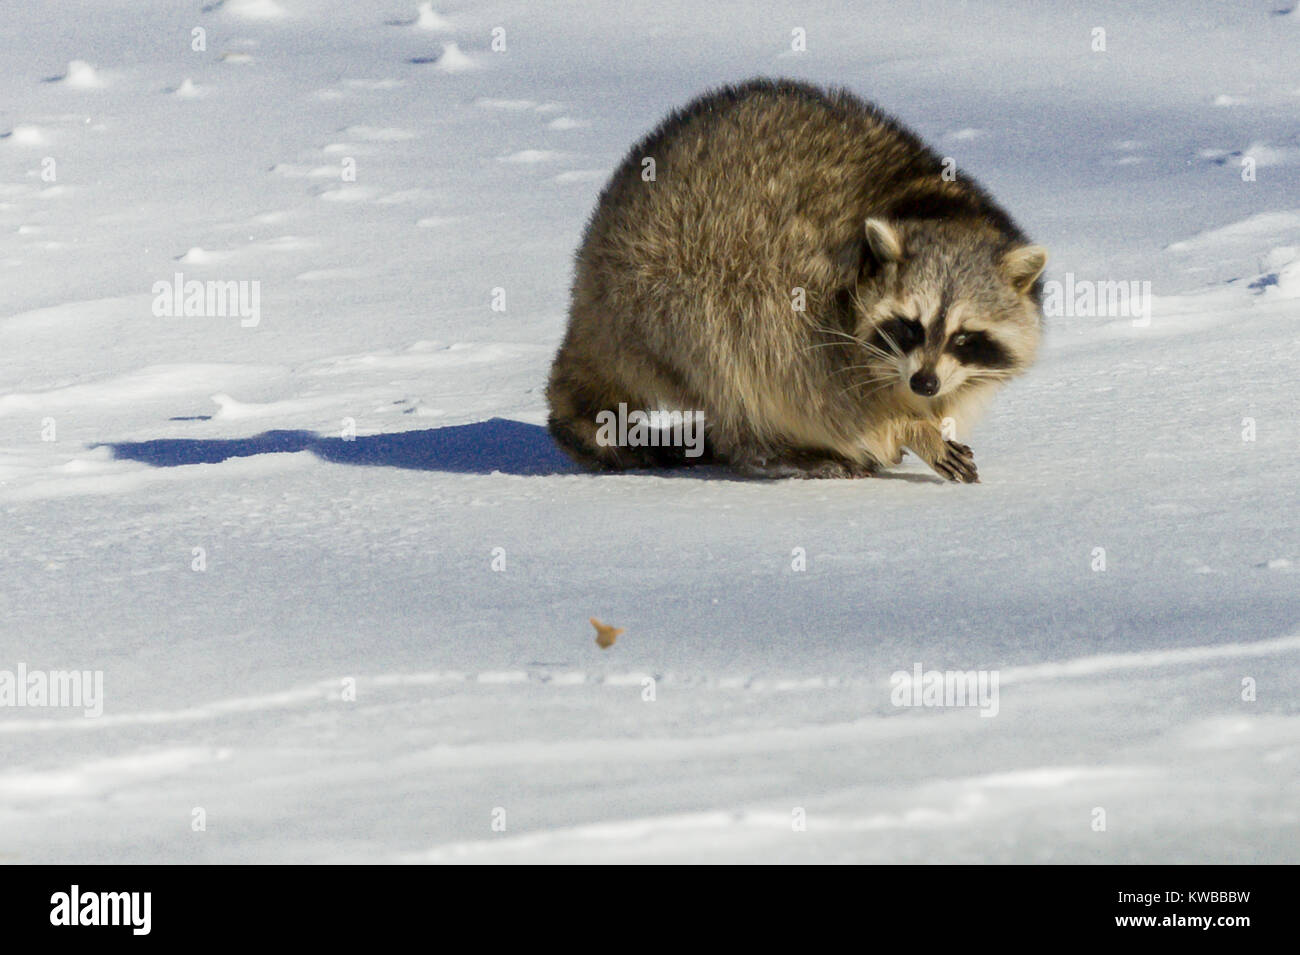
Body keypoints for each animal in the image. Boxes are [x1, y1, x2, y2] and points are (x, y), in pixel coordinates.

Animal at [546, 78, 1047, 482]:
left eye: (965, 336)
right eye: (909, 326)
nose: (924, 384)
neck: (930, 206)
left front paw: (922, 417)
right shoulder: (818, 327)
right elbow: (839, 404)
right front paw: (911, 429)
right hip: (668, 292)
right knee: (730, 367)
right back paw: (770, 451)